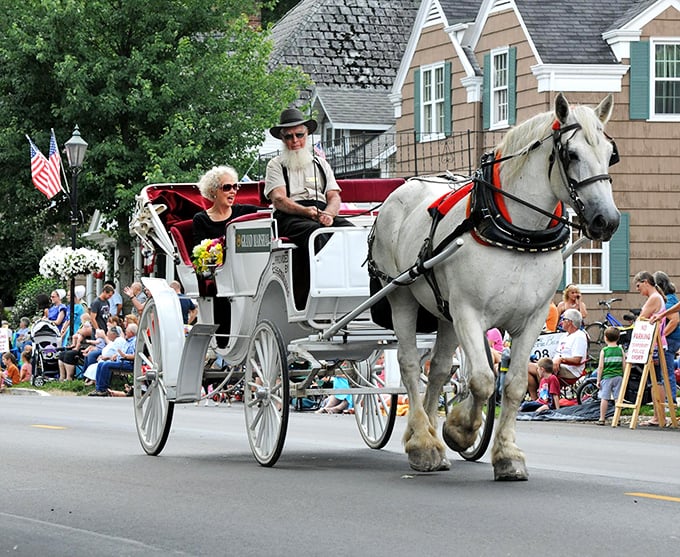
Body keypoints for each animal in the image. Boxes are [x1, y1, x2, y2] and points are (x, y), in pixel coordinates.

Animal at [369, 93, 620, 480]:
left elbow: (511, 385)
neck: (519, 234)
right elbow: (484, 380)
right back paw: (423, 443)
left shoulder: (531, 320)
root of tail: (402, 188)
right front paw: (460, 429)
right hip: (401, 295)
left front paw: (506, 454)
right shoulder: (469, 313)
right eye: (572, 154)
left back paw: (426, 436)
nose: (606, 220)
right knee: (410, 364)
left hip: (443, 312)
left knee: (438, 369)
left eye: (610, 153)